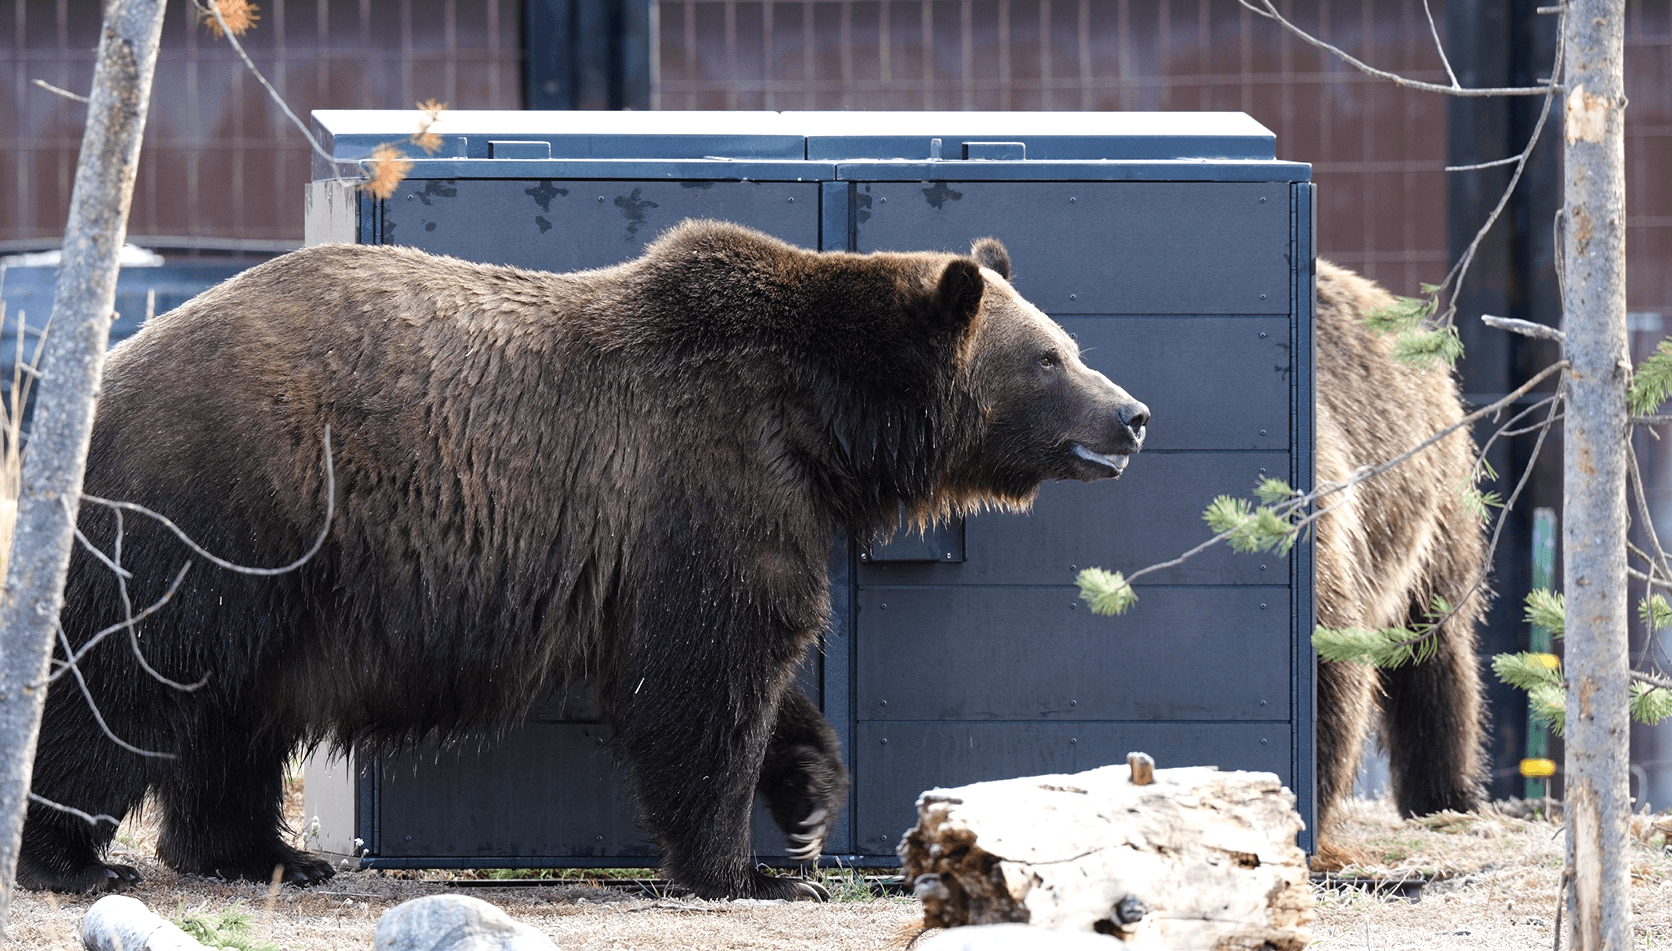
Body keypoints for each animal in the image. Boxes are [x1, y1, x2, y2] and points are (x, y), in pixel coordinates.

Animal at [18, 220, 1149, 900]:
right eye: (1050, 356)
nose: (1132, 414)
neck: (821, 418)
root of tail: (101, 375)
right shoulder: (699, 476)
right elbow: (707, 674)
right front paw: (742, 867)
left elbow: (751, 669)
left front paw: (809, 798)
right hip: (222, 506)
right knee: (120, 682)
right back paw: (71, 858)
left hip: (268, 573)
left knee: (232, 713)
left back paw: (268, 853)